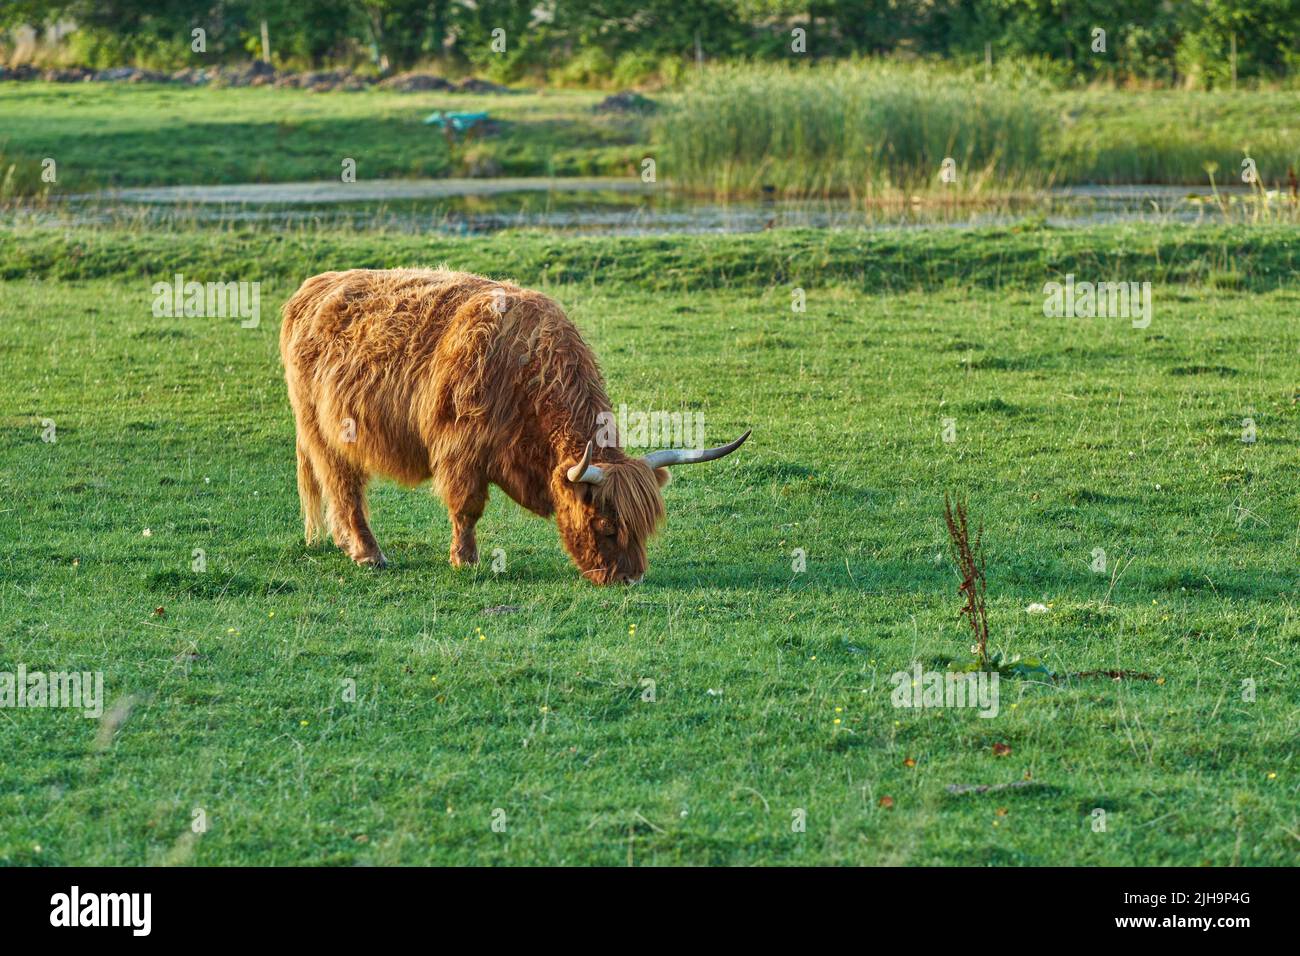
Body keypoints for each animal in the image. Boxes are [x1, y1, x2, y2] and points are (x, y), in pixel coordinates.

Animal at [279, 268, 749, 584]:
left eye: (646, 528)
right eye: (606, 527)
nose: (630, 579)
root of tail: (313, 287)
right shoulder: (460, 449)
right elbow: (467, 508)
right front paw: (465, 560)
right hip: (323, 431)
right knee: (344, 487)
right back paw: (368, 553)